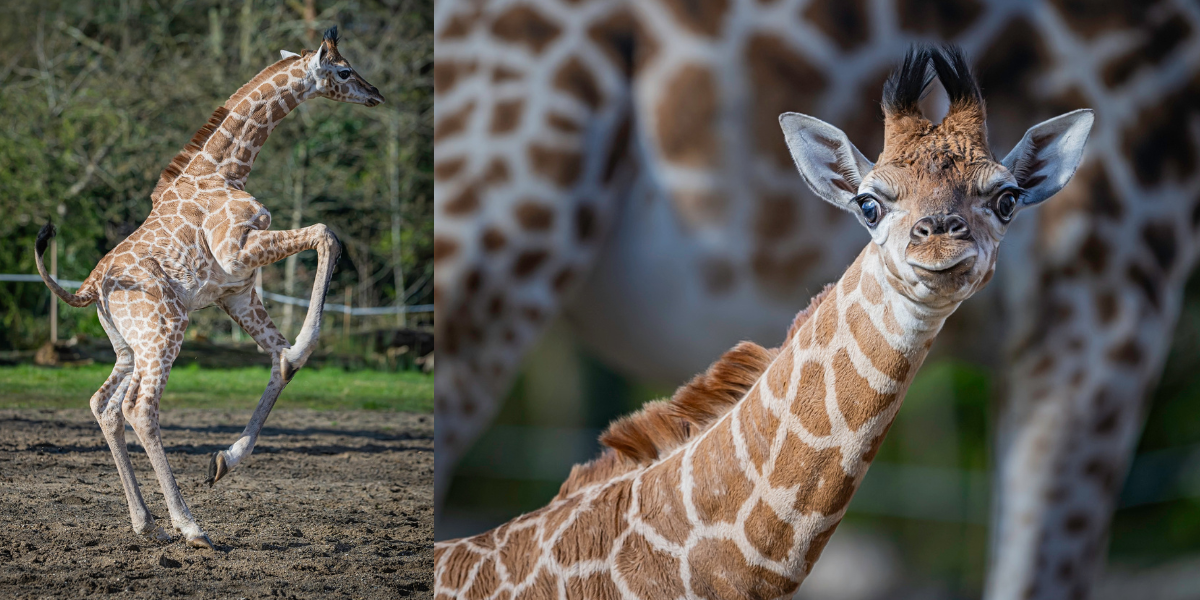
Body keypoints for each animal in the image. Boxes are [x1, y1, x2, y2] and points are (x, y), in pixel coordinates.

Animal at [32, 27, 383, 549]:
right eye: (343, 70)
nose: (375, 93)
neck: (226, 168)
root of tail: (92, 287)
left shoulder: (234, 289)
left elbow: (284, 359)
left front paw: (224, 461)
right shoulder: (237, 253)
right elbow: (326, 234)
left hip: (129, 345)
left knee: (105, 405)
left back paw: (148, 523)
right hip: (164, 329)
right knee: (139, 408)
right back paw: (190, 526)